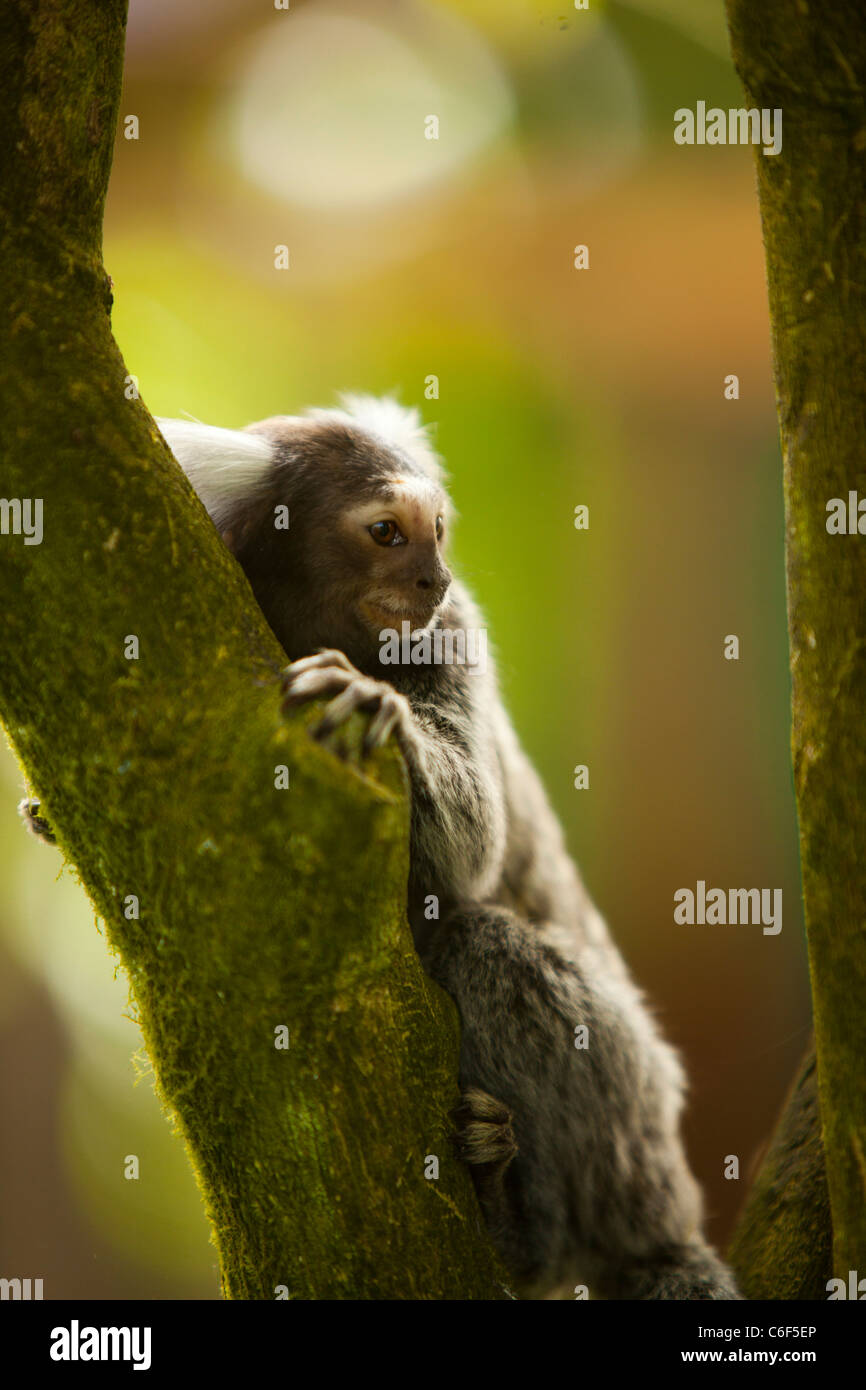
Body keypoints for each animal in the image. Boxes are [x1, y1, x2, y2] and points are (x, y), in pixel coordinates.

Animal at [21, 395, 741, 1300]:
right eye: (387, 533)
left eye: (438, 532)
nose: (434, 580)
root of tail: (663, 1204)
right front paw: (45, 815)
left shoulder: (454, 635)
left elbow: (475, 842)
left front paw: (369, 706)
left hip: (629, 1113)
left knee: (488, 952)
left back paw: (516, 1228)